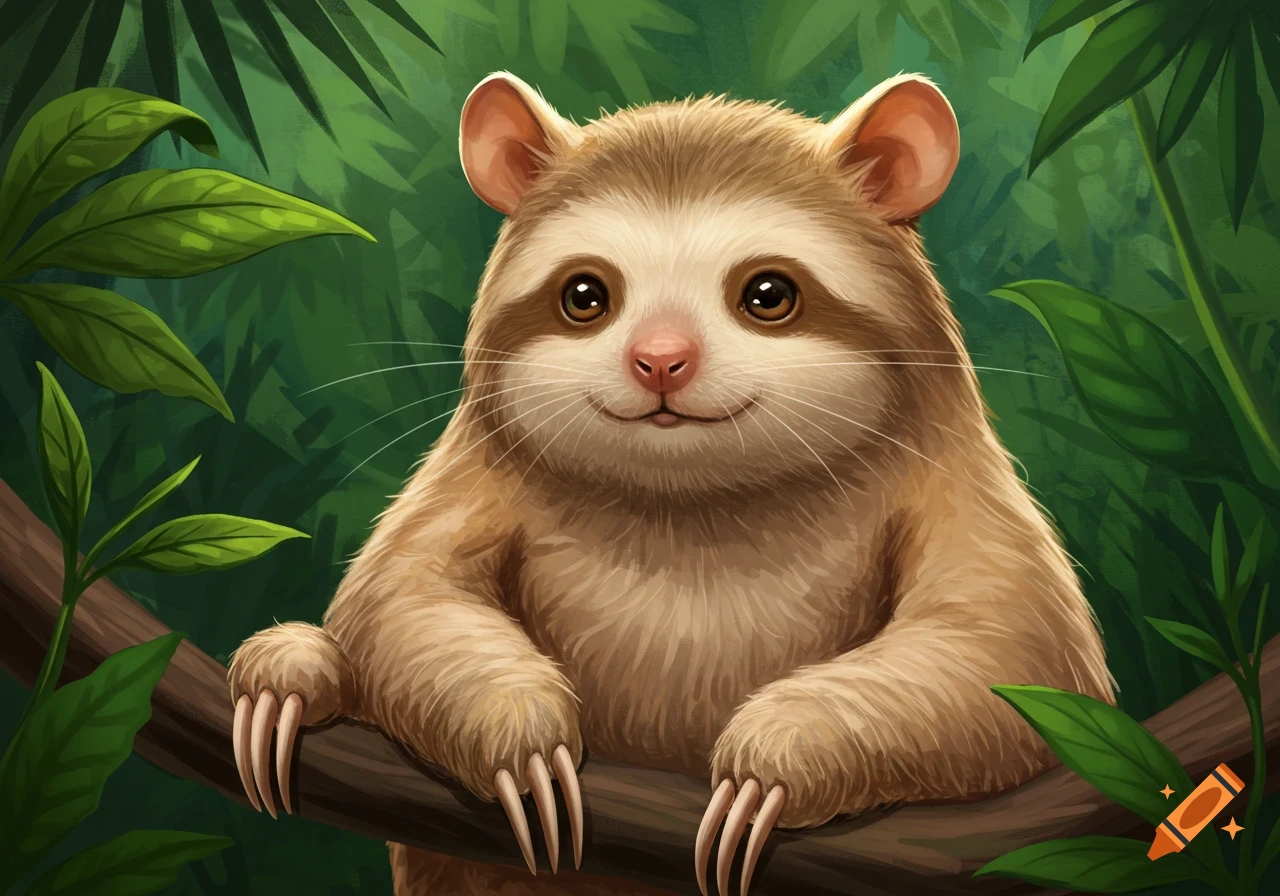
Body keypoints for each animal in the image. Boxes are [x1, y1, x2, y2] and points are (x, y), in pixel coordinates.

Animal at [228, 71, 1114, 896]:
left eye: (768, 293)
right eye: (585, 294)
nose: (660, 358)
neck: (694, 509)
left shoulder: (957, 487)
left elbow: (1007, 653)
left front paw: (773, 759)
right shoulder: (472, 478)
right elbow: (402, 598)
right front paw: (521, 733)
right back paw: (288, 680)